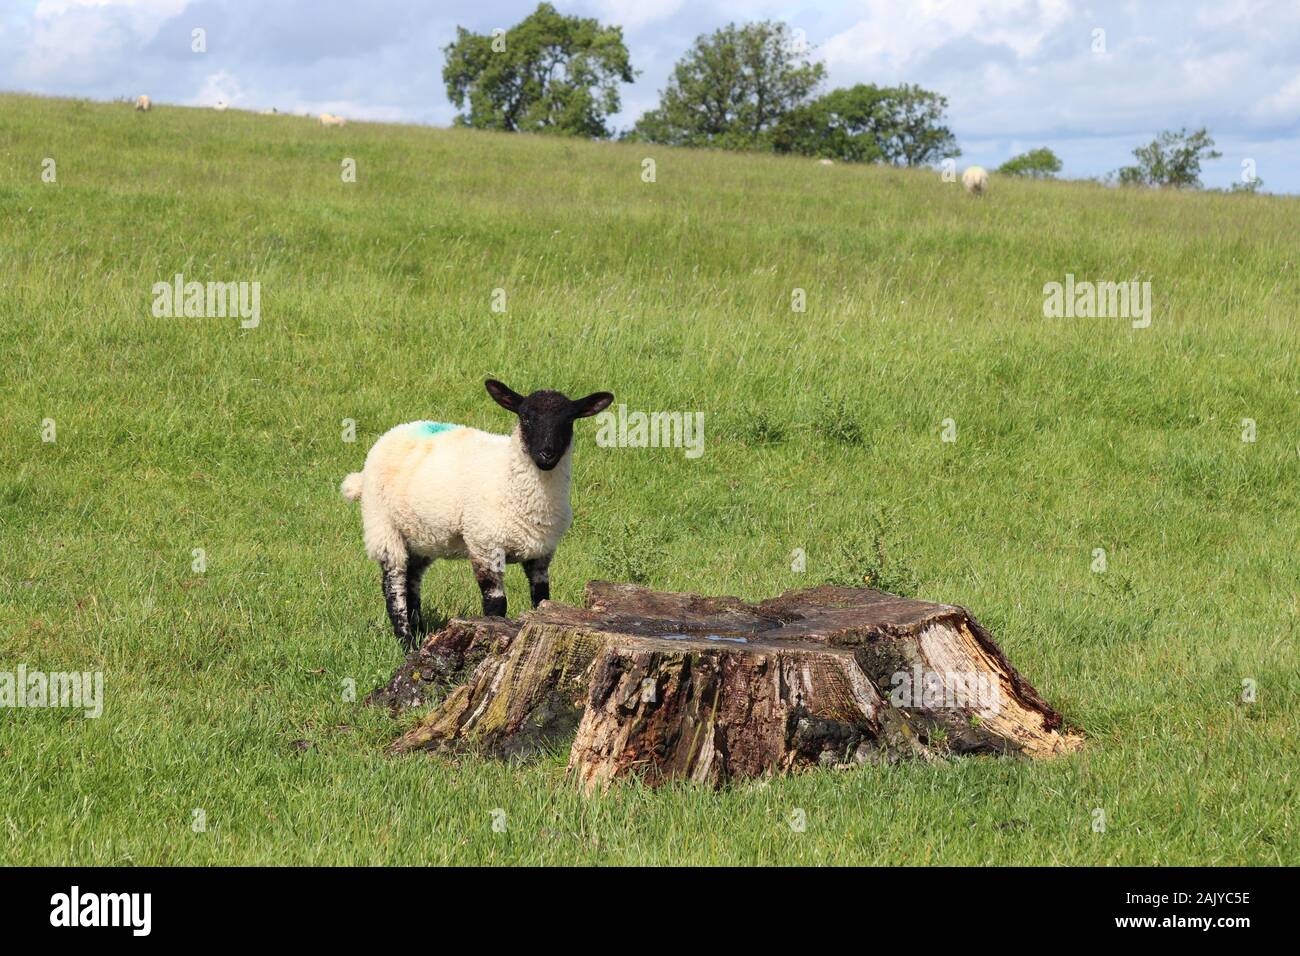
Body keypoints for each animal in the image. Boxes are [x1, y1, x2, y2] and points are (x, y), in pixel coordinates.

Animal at [340, 379, 613, 649]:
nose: (547, 454)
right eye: (525, 417)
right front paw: (493, 633)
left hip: (420, 536)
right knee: (394, 584)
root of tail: (399, 429)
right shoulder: (485, 545)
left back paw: (419, 631)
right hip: (382, 525)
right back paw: (408, 643)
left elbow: (542, 599)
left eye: (569, 420)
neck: (509, 478)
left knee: (412, 581)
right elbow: (496, 604)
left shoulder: (542, 553)